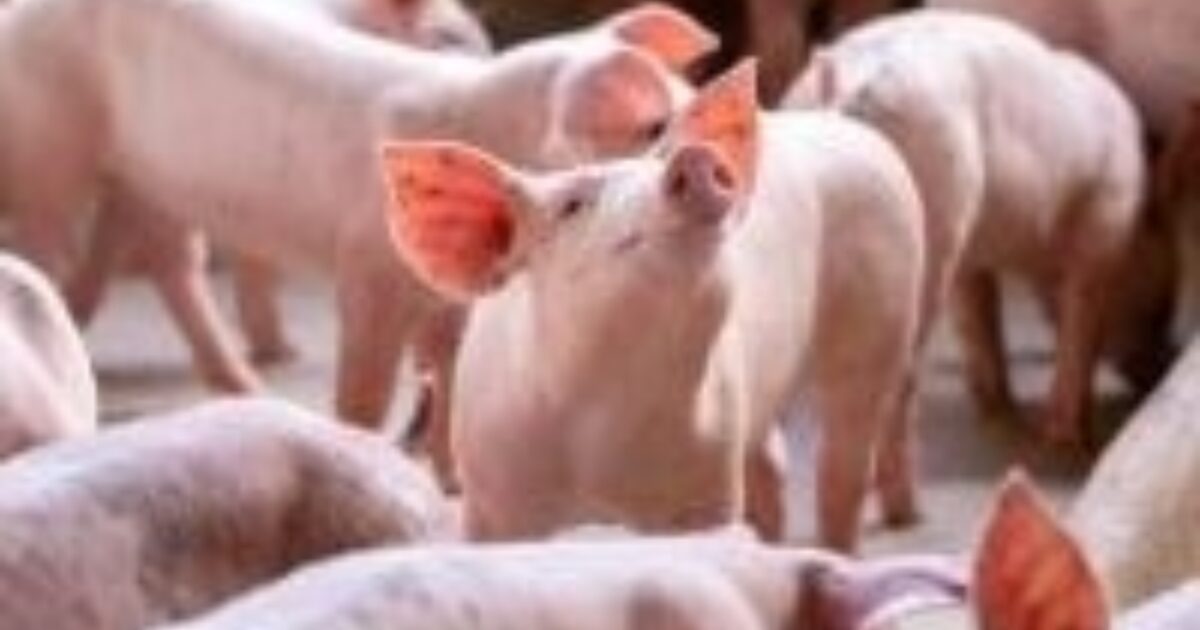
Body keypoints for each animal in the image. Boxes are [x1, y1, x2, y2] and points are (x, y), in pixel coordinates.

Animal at [381, 61, 924, 549]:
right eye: (572, 206)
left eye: (659, 165)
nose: (696, 158)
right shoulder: (493, 496)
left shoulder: (707, 476)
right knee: (774, 463)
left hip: (887, 306)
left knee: (843, 469)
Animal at [785, 10, 1146, 448]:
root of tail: (850, 83)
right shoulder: (1108, 218)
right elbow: (1083, 315)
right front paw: (1065, 435)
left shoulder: (976, 249)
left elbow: (977, 309)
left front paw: (1000, 411)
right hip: (938, 193)